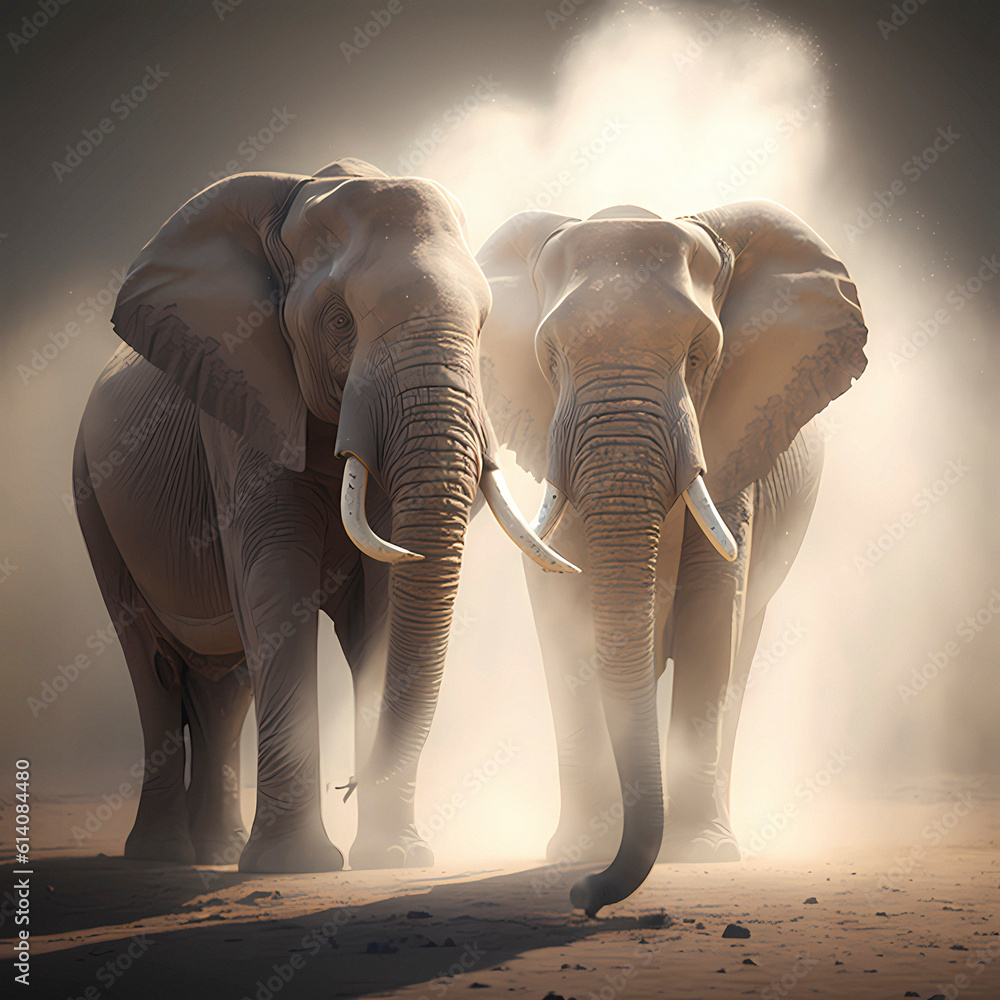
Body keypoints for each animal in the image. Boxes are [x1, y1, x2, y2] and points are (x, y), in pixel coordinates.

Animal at [72, 157, 576, 874]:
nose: (349, 784)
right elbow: (277, 580)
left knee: (225, 683)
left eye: (482, 324)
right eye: (339, 321)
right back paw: (164, 857)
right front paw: (296, 866)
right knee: (152, 664)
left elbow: (385, 595)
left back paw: (215, 854)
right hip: (91, 492)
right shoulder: (240, 396)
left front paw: (394, 860)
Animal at [476, 200, 868, 915]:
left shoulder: (737, 447)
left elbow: (714, 619)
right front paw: (574, 853)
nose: (584, 897)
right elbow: (567, 630)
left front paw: (698, 855)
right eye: (551, 358)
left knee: (738, 646)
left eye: (697, 355)